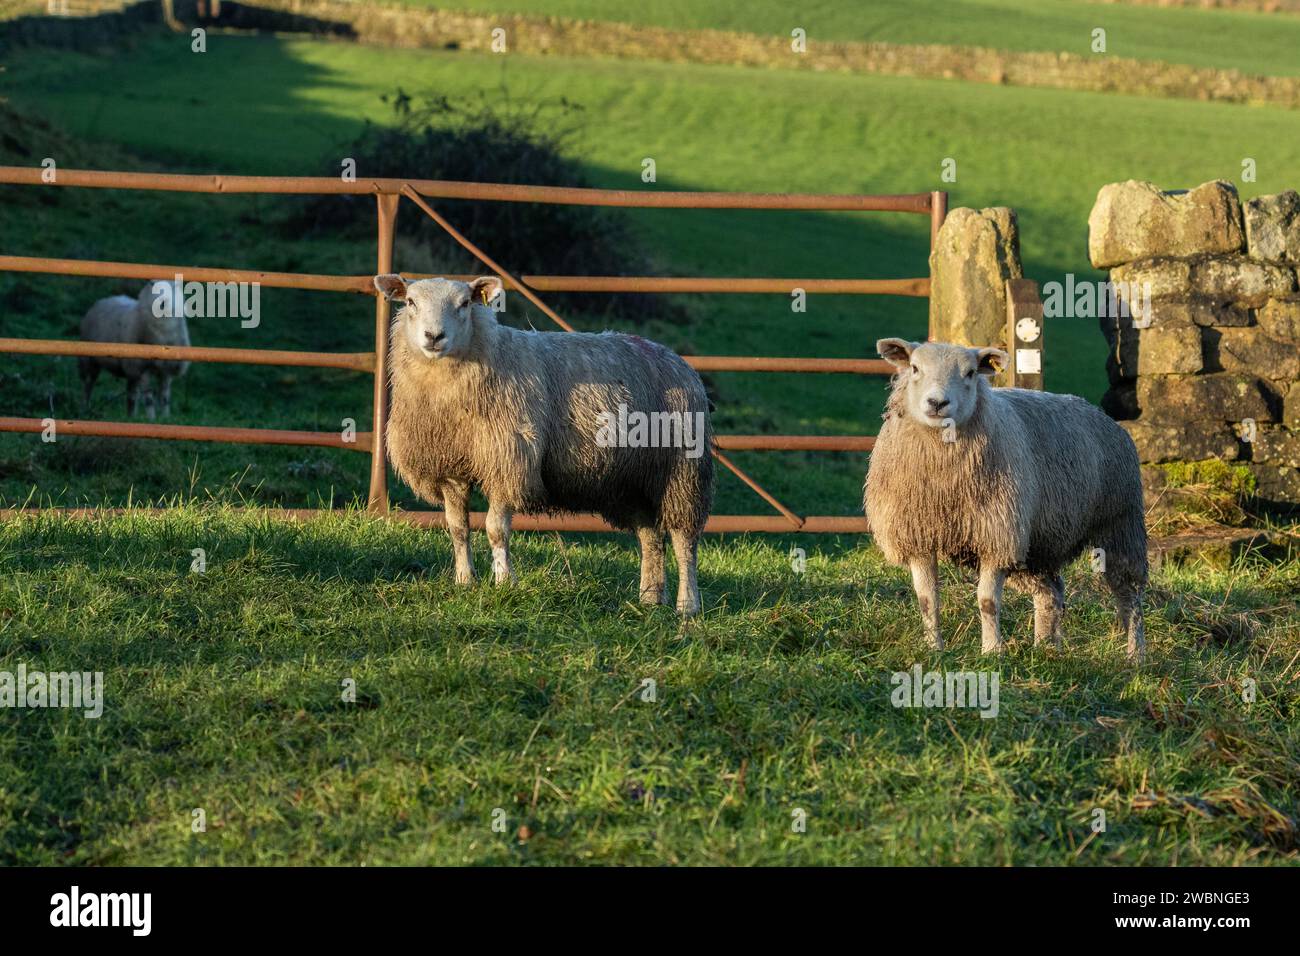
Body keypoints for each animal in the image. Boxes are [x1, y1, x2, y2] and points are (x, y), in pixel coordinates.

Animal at [79, 279, 191, 418]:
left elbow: (164, 397)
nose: (163, 302)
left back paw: (131, 416)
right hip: (90, 361)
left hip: (130, 369)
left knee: (131, 395)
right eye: (154, 288)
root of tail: (107, 298)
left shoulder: (167, 369)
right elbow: (148, 398)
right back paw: (85, 409)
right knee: (88, 386)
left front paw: (165, 417)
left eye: (173, 288)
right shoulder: (142, 368)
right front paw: (152, 419)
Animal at [375, 273, 715, 614]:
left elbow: (496, 530)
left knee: (684, 540)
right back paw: (649, 599)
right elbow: (458, 528)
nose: (434, 336)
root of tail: (679, 362)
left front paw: (504, 583)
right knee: (651, 537)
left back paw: (687, 605)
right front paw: (464, 581)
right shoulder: (450, 468)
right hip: (632, 482)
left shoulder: (509, 462)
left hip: (683, 472)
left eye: (465, 303)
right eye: (410, 302)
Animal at [863, 338, 1147, 661]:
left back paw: (1135, 655)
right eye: (914, 368)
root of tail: (1106, 417)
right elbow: (927, 599)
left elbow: (987, 600)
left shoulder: (997, 535)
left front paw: (992, 651)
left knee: (1130, 595)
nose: (937, 403)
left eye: (971, 373)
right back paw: (1045, 648)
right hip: (1038, 542)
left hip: (1120, 523)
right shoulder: (918, 537)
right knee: (1050, 592)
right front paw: (933, 648)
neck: (944, 485)